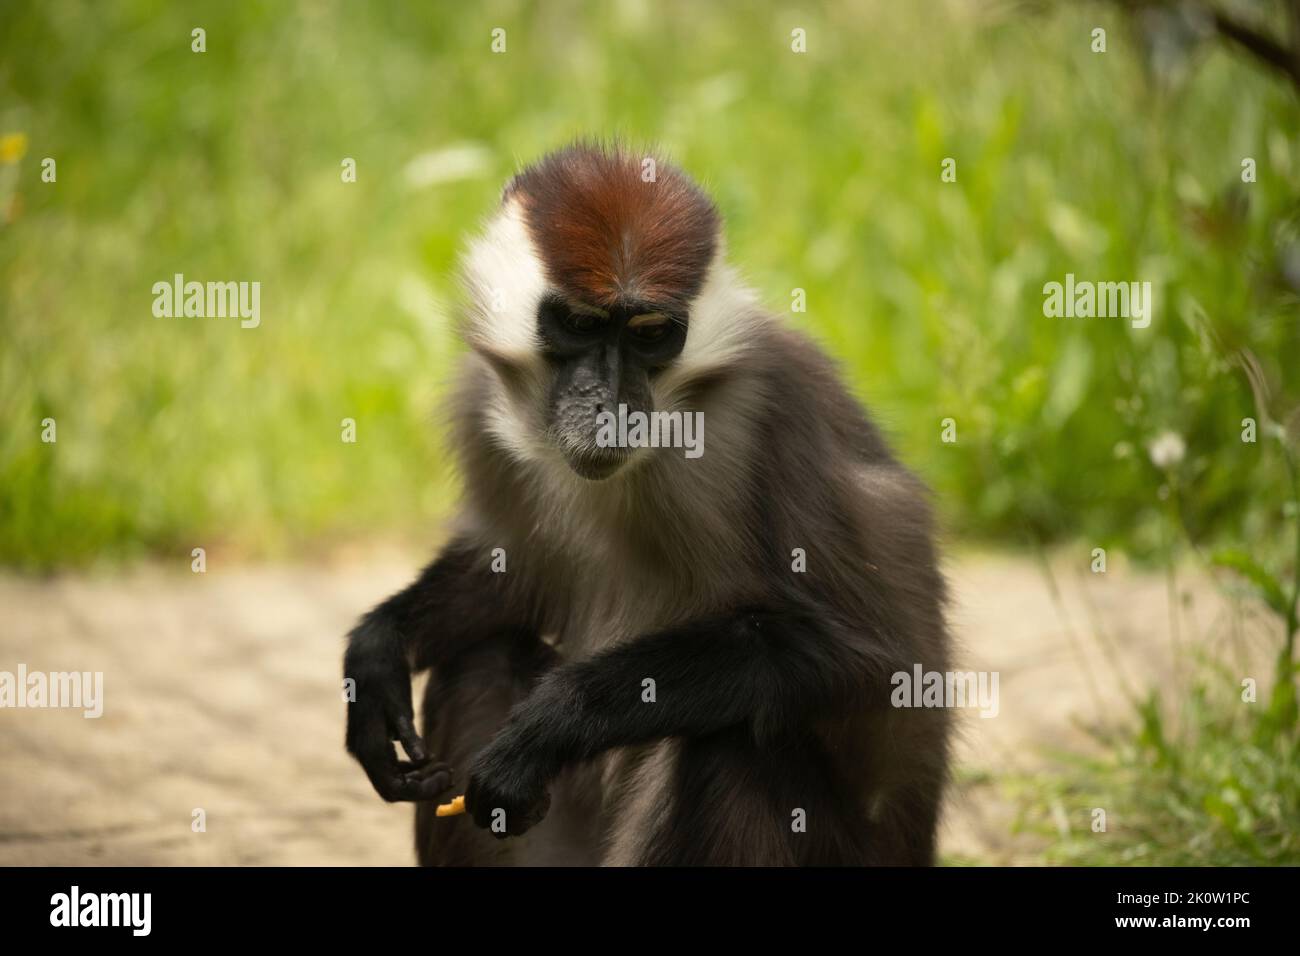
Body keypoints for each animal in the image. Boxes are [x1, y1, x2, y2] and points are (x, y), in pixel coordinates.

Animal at [343, 142, 952, 866]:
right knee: (479, 656)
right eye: (581, 324)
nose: (612, 404)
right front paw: (377, 652)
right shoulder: (480, 403)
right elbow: (508, 576)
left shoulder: (765, 414)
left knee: (732, 739)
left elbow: (869, 660)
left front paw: (560, 717)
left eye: (651, 333)